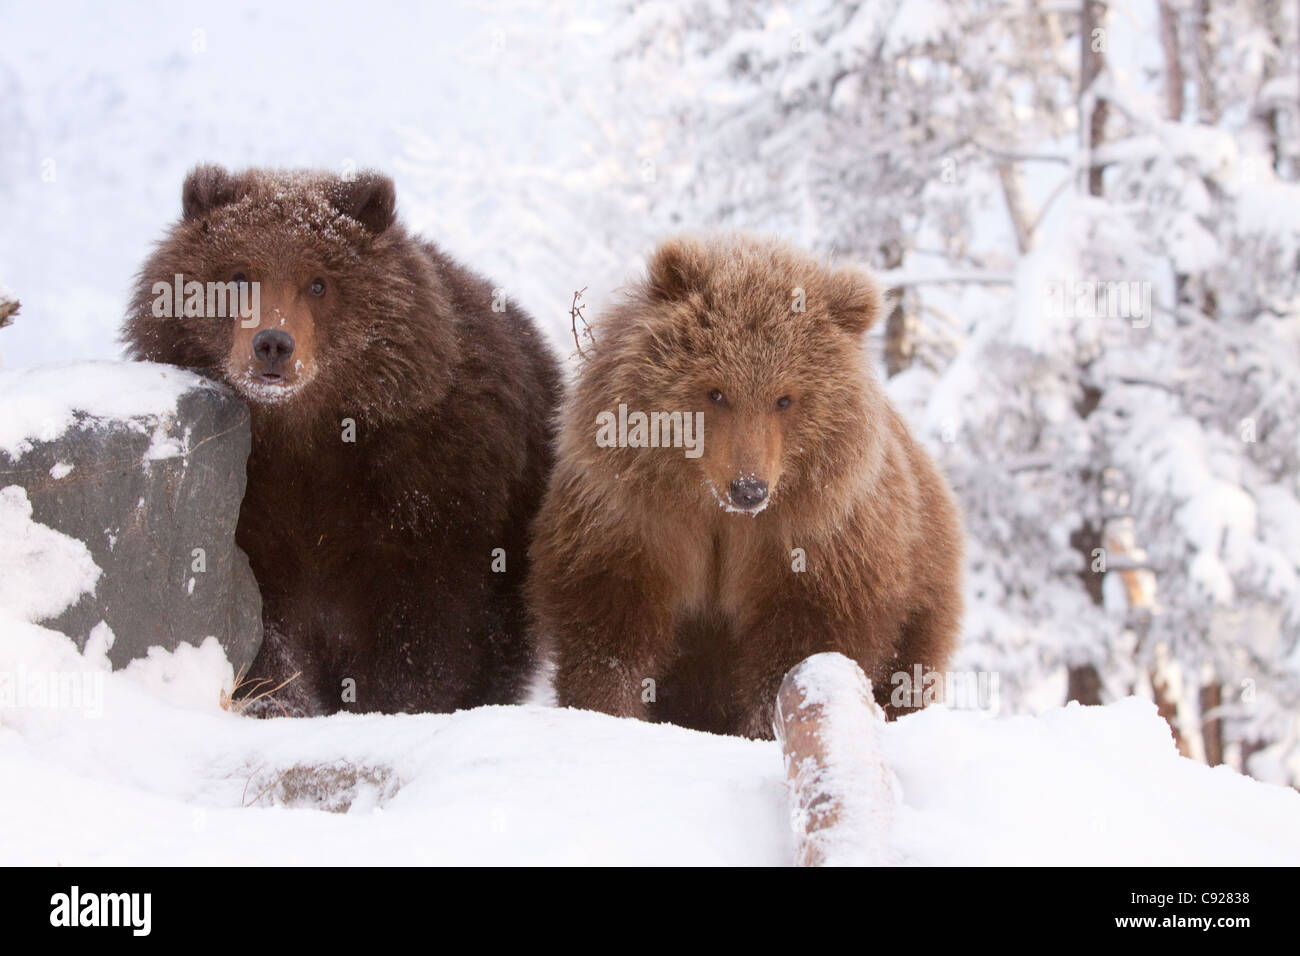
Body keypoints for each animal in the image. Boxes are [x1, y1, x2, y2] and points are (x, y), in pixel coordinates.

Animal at [123, 165, 563, 716]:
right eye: (239, 276)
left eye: (318, 282)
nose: (273, 343)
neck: (306, 433)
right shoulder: (251, 505)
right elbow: (254, 618)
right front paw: (277, 700)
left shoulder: (433, 484)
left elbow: (429, 631)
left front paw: (394, 703)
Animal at [527, 234, 963, 739]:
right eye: (716, 391)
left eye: (785, 398)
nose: (748, 489)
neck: (719, 514)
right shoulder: (635, 517)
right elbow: (611, 617)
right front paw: (605, 709)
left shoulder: (815, 541)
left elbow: (803, 637)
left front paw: (768, 724)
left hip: (922, 587)